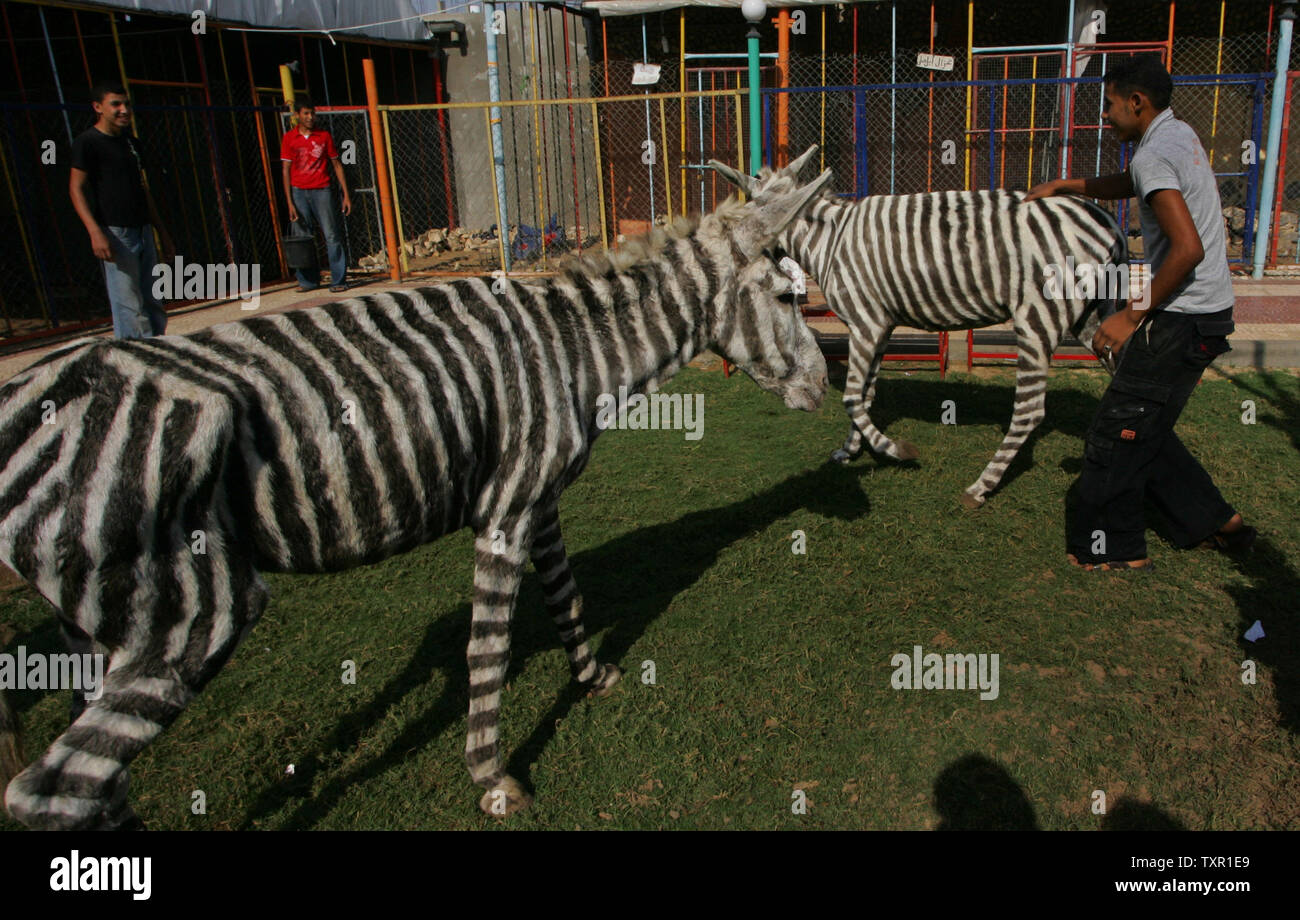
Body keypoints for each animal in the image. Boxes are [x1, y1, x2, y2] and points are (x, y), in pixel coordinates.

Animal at [0, 170, 832, 830]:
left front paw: (592, 677)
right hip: (198, 612)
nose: (824, 388)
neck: (572, 350)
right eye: (786, 296)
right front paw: (492, 779)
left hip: (96, 628)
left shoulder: (534, 498)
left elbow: (565, 594)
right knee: (51, 791)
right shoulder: (504, 512)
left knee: (97, 778)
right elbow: (488, 650)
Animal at [712, 146, 1126, 507]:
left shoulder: (865, 322)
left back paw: (981, 486)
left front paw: (894, 450)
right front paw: (851, 450)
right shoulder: (880, 326)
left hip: (1039, 315)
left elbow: (851, 397)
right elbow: (866, 395)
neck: (830, 240)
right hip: (1093, 317)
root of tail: (1106, 219)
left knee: (1029, 411)